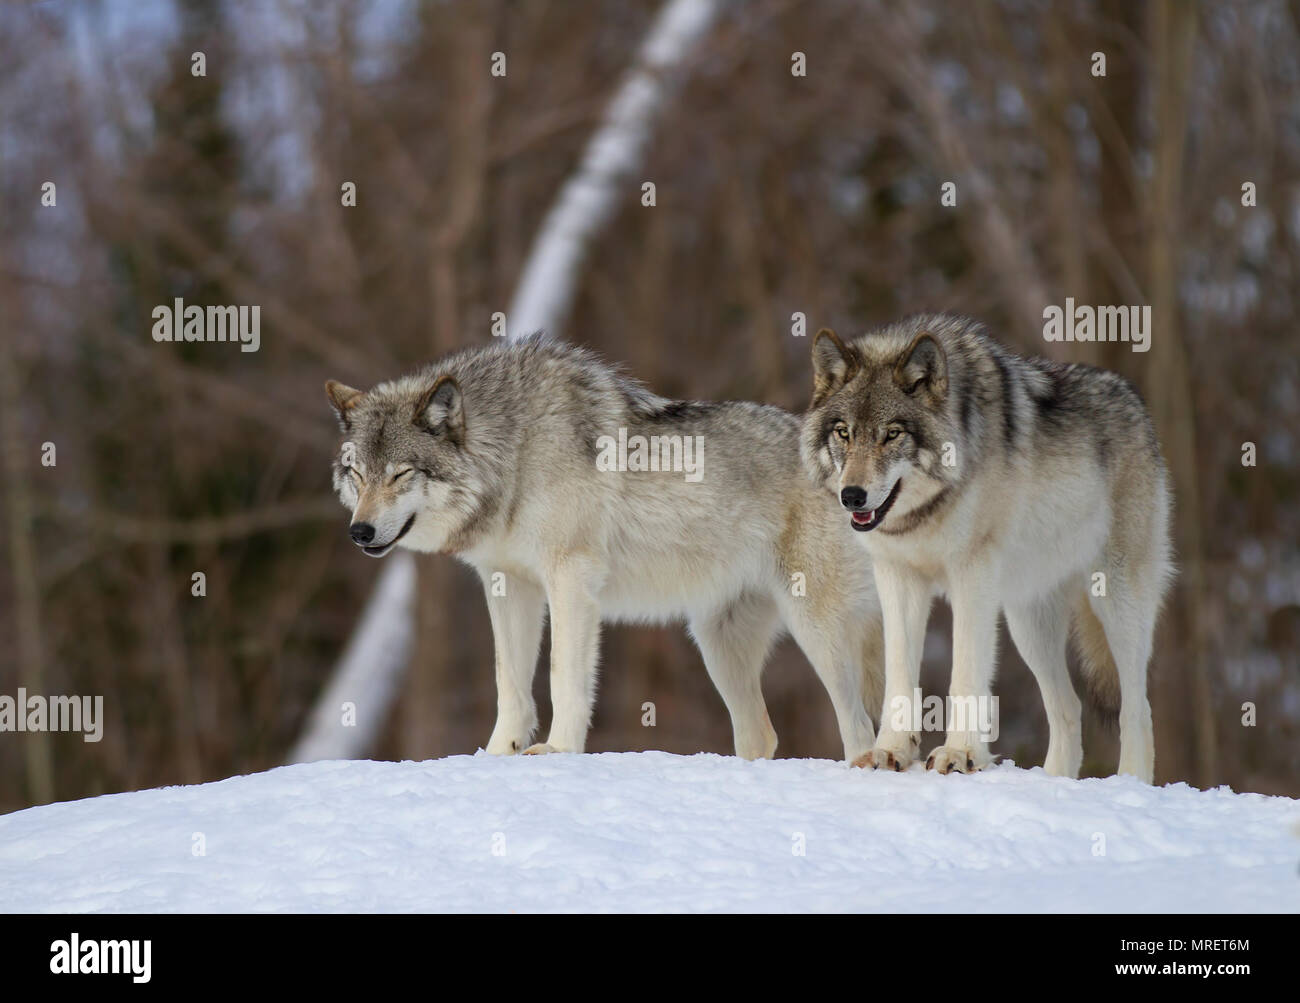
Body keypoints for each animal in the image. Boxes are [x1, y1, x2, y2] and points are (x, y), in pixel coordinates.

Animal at [326, 334, 884, 762]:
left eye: (401, 474)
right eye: (357, 474)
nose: (360, 532)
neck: (515, 454)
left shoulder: (570, 579)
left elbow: (562, 677)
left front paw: (556, 752)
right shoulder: (508, 585)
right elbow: (510, 685)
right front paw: (499, 754)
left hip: (815, 633)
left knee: (857, 725)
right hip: (718, 645)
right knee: (762, 735)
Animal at [800, 314, 1173, 782]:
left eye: (892, 434)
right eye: (843, 433)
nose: (852, 495)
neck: (925, 513)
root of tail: (1135, 401)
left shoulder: (971, 575)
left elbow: (965, 671)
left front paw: (960, 754)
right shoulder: (897, 575)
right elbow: (899, 670)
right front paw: (890, 751)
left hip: (1117, 603)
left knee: (1137, 708)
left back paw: (1130, 782)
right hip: (1027, 624)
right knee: (1068, 707)